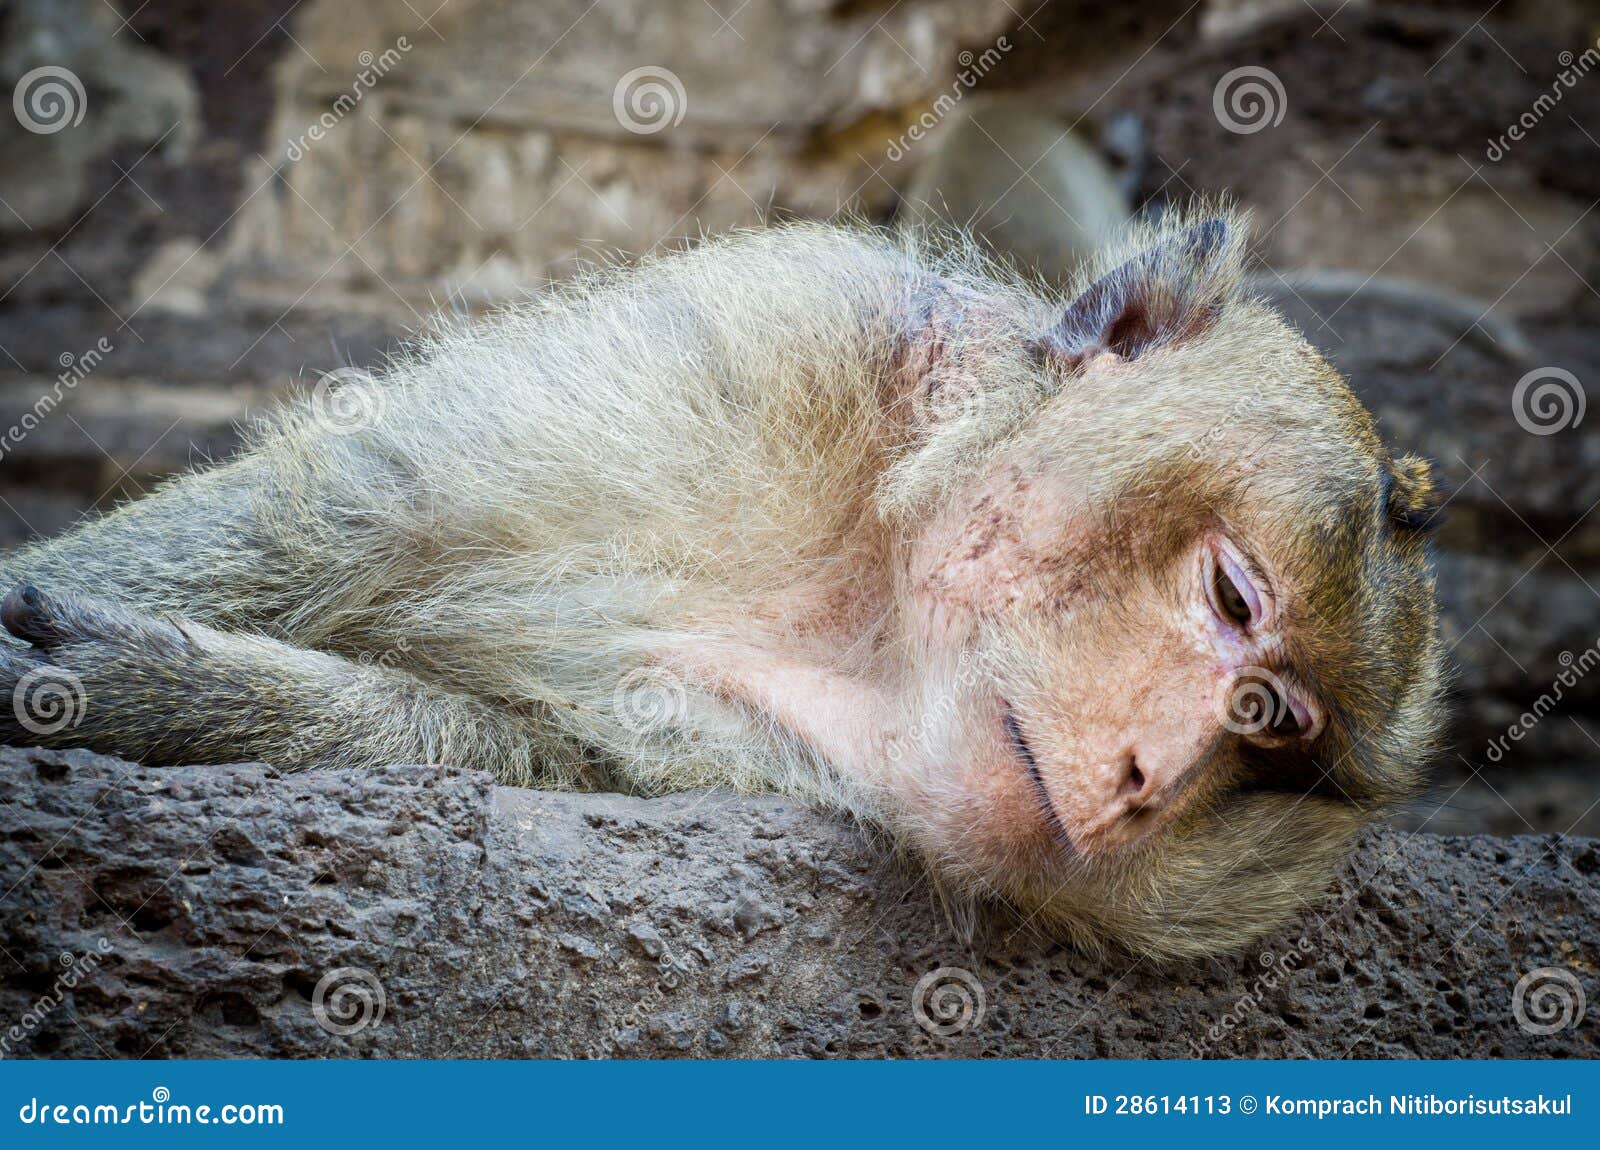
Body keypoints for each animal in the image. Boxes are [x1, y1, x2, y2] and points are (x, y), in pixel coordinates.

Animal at [0, 207, 1446, 960]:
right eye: (1232, 597)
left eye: (1275, 730)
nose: (1152, 778)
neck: (876, 595)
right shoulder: (778, 347)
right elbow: (324, 519)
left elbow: (518, 740)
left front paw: (158, 690)